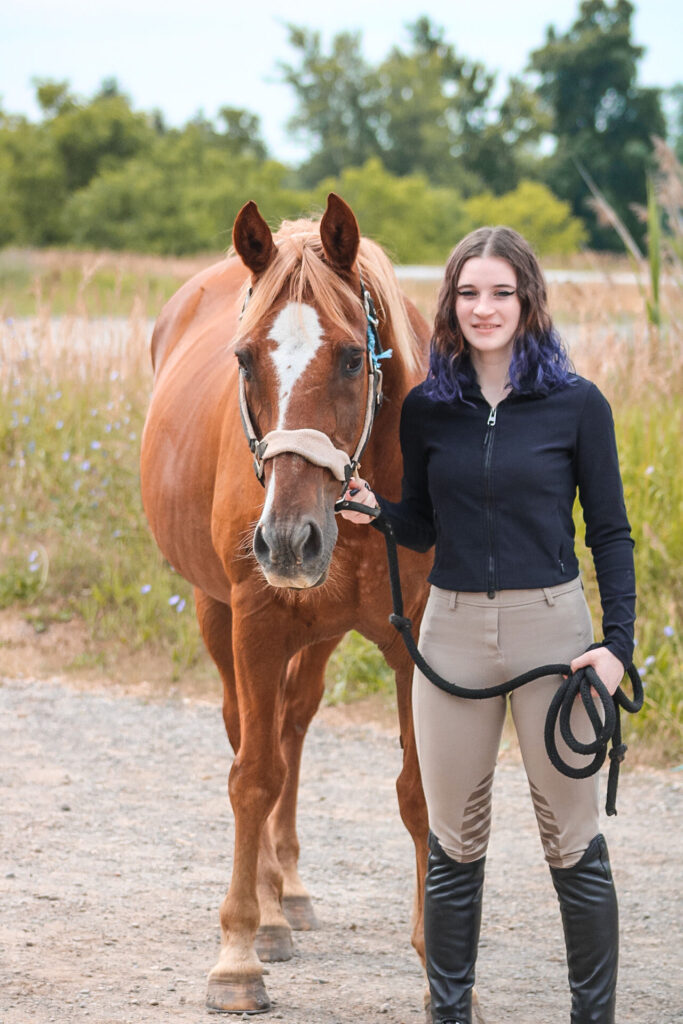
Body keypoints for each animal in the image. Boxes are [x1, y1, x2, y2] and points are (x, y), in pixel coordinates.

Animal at [140, 193, 433, 1015]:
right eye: (243, 359)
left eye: (350, 357)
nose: (288, 540)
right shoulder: (259, 622)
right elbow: (252, 777)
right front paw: (238, 955)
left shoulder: (416, 639)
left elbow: (418, 791)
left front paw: (440, 965)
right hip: (221, 615)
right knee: (253, 734)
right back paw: (271, 913)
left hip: (319, 633)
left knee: (294, 727)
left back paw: (289, 892)